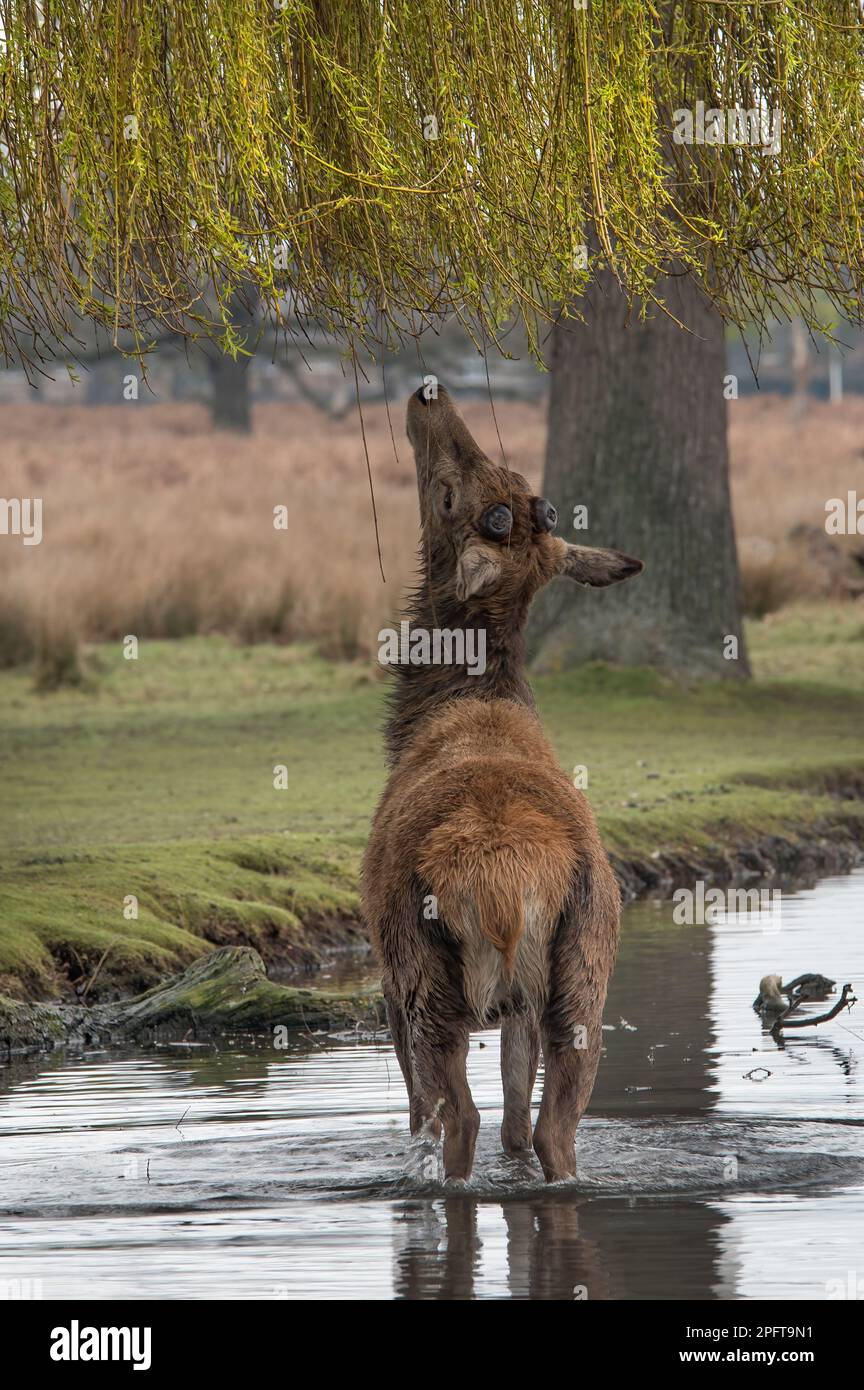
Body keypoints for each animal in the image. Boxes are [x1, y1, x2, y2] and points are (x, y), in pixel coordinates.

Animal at [362, 386, 644, 1183]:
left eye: (446, 493)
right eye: (504, 482)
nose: (429, 393)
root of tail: (502, 888)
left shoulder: (386, 980)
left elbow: (422, 1113)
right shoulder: (525, 1005)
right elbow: (518, 1114)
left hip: (424, 977)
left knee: (459, 1119)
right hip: (582, 972)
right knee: (553, 1130)